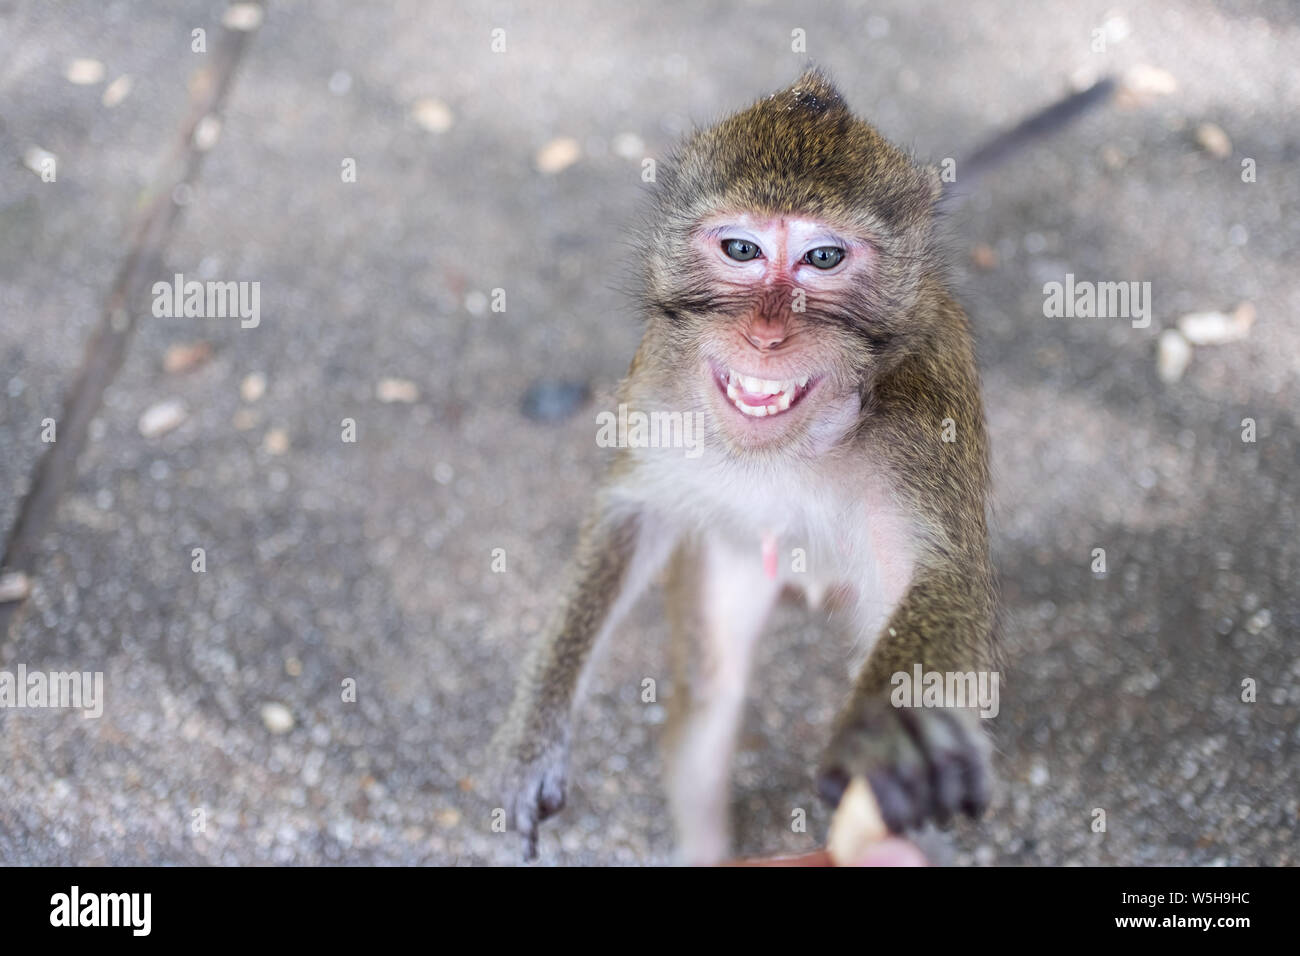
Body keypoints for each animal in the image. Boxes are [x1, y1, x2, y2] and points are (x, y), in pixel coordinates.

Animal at [490, 67, 1001, 864]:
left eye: (824, 258)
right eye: (741, 249)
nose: (766, 335)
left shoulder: (929, 417)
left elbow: (945, 578)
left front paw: (891, 732)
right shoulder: (659, 379)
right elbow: (633, 511)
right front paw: (534, 730)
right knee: (710, 697)